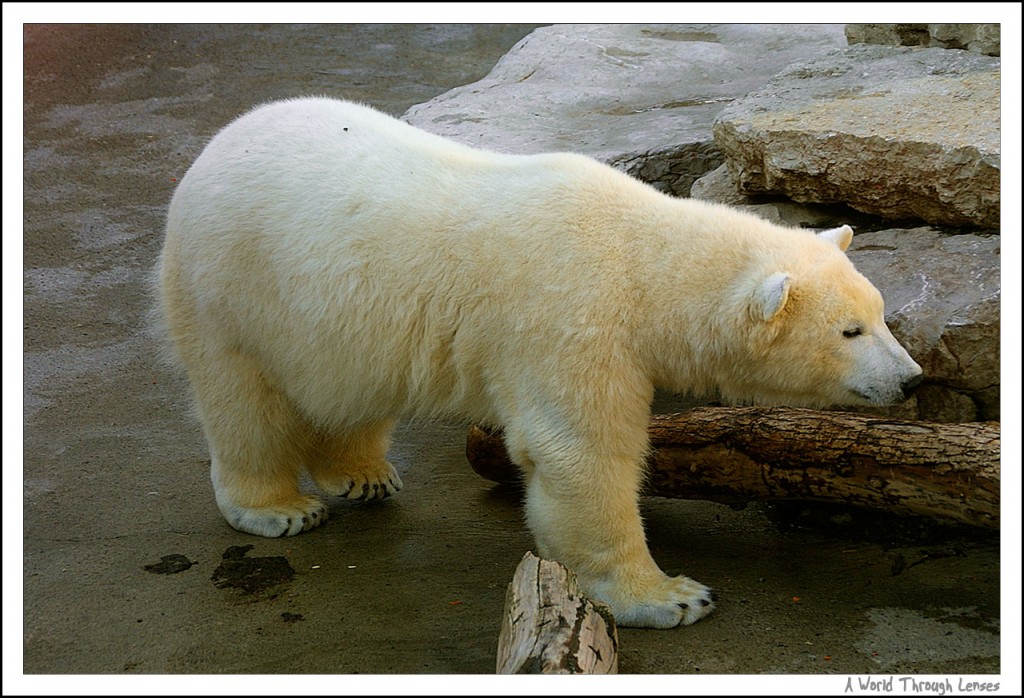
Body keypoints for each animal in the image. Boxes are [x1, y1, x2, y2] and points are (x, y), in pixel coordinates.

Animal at [156, 97, 923, 629]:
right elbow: (582, 453)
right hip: (231, 284)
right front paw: (673, 597)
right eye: (851, 330)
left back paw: (364, 473)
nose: (912, 378)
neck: (640, 255)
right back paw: (278, 508)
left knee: (352, 391)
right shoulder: (569, 316)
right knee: (242, 401)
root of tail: (212, 149)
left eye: (883, 312)